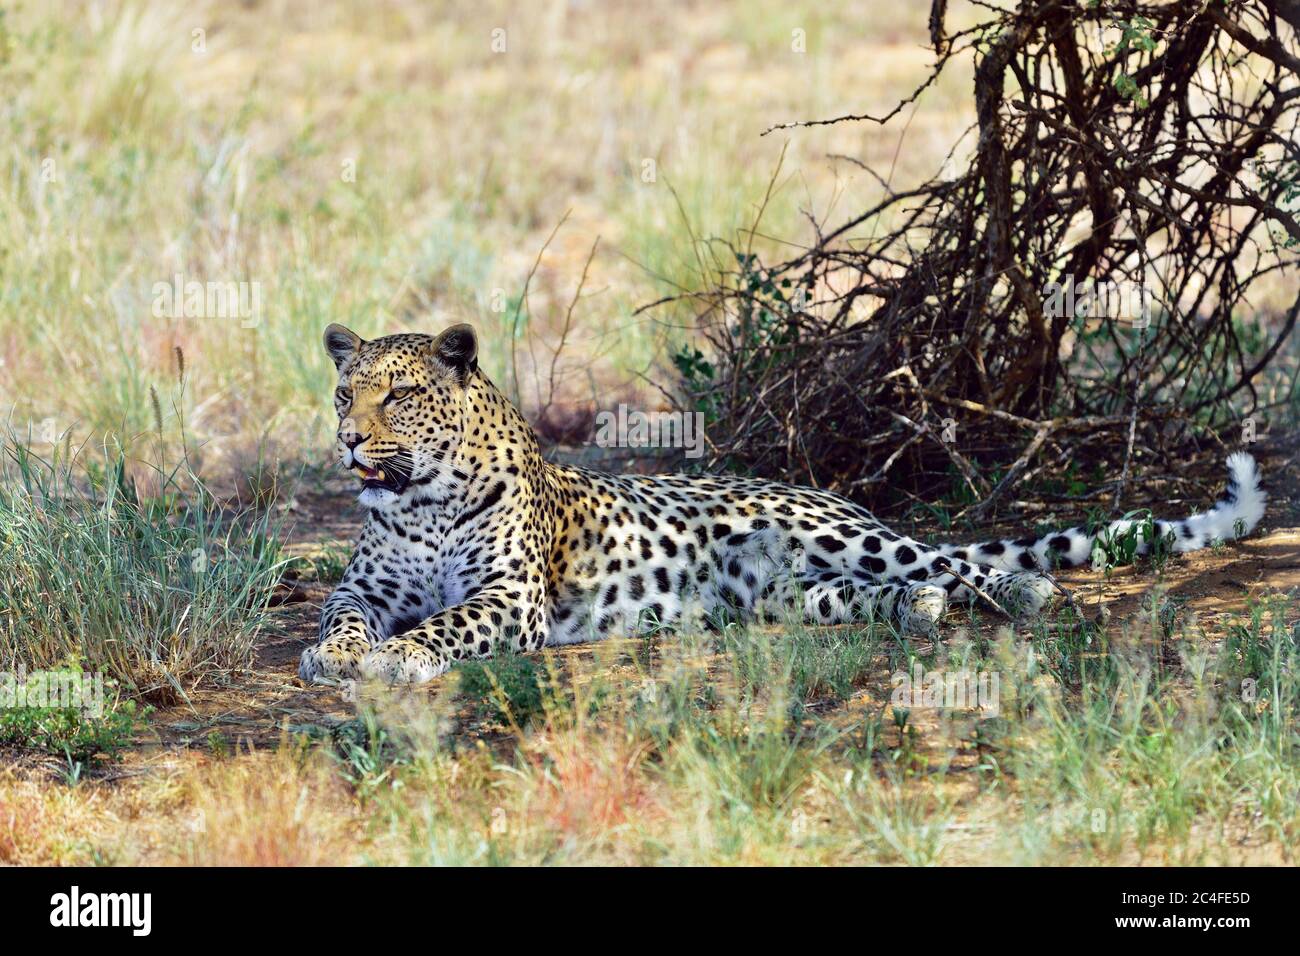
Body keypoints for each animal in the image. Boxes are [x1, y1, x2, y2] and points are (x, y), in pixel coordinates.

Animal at [298, 322, 1268, 685]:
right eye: (346, 394)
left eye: (399, 397)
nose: (347, 440)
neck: (419, 499)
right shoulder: (365, 587)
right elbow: (340, 617)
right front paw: (334, 656)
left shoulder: (507, 597)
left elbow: (444, 624)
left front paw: (395, 659)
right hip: (785, 593)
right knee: (884, 593)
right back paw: (916, 611)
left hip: (847, 535)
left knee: (952, 562)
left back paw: (1017, 591)